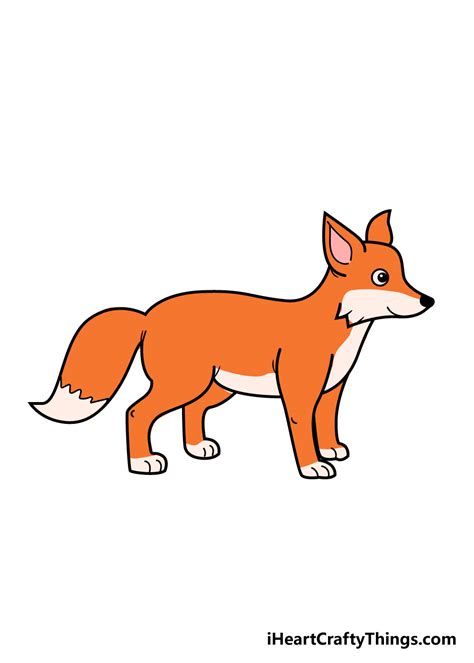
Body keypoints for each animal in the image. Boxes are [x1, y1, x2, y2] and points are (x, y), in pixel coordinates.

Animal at [30, 210, 434, 479]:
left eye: (403, 273)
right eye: (381, 277)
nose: (427, 301)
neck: (340, 327)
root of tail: (147, 315)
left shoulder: (332, 390)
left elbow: (326, 424)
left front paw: (331, 450)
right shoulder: (299, 392)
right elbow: (303, 431)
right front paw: (312, 465)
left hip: (215, 388)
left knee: (191, 413)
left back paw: (197, 448)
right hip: (184, 384)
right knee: (135, 412)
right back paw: (143, 462)